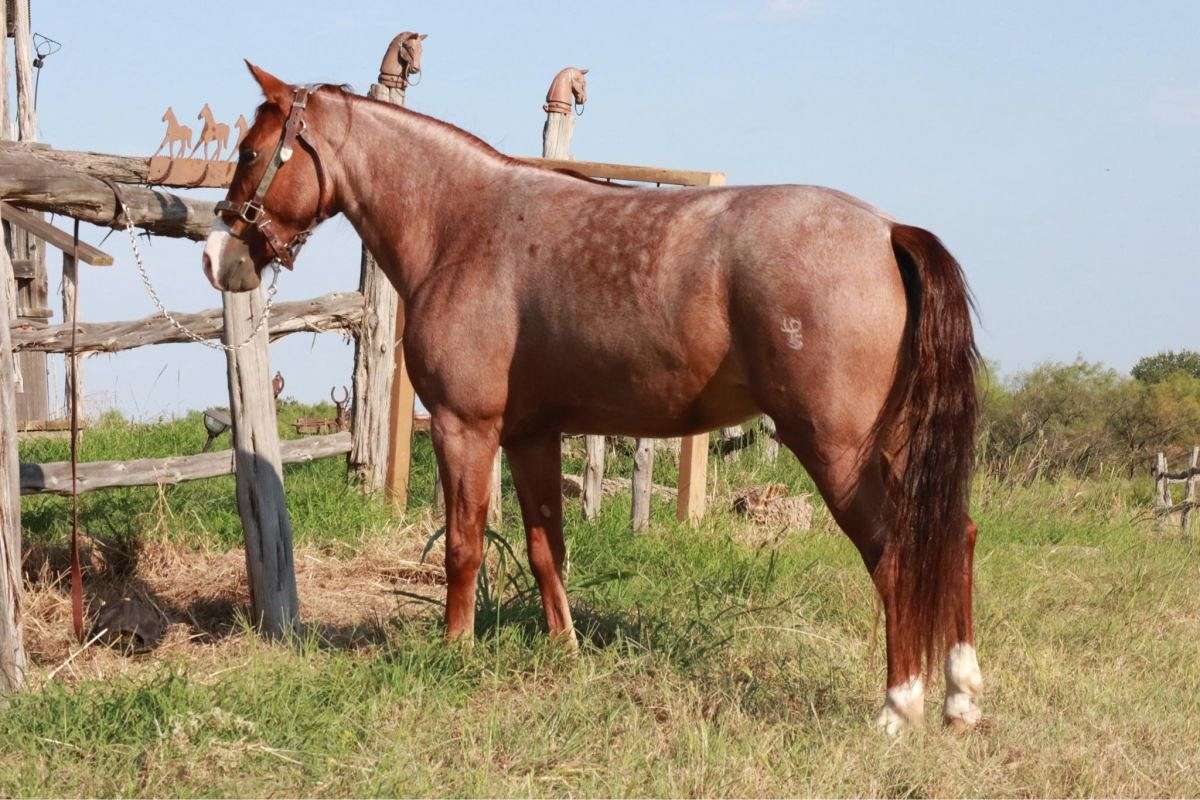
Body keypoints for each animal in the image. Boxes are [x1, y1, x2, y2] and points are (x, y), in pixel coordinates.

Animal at [204, 63, 983, 735]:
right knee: (955, 535)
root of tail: (886, 231)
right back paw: (961, 700)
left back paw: (898, 708)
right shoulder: (531, 435)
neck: (461, 224)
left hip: (836, 448)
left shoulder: (465, 427)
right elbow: (547, 546)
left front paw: (454, 650)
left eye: (251, 150)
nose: (218, 257)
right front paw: (566, 650)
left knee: (895, 550)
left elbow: (463, 544)